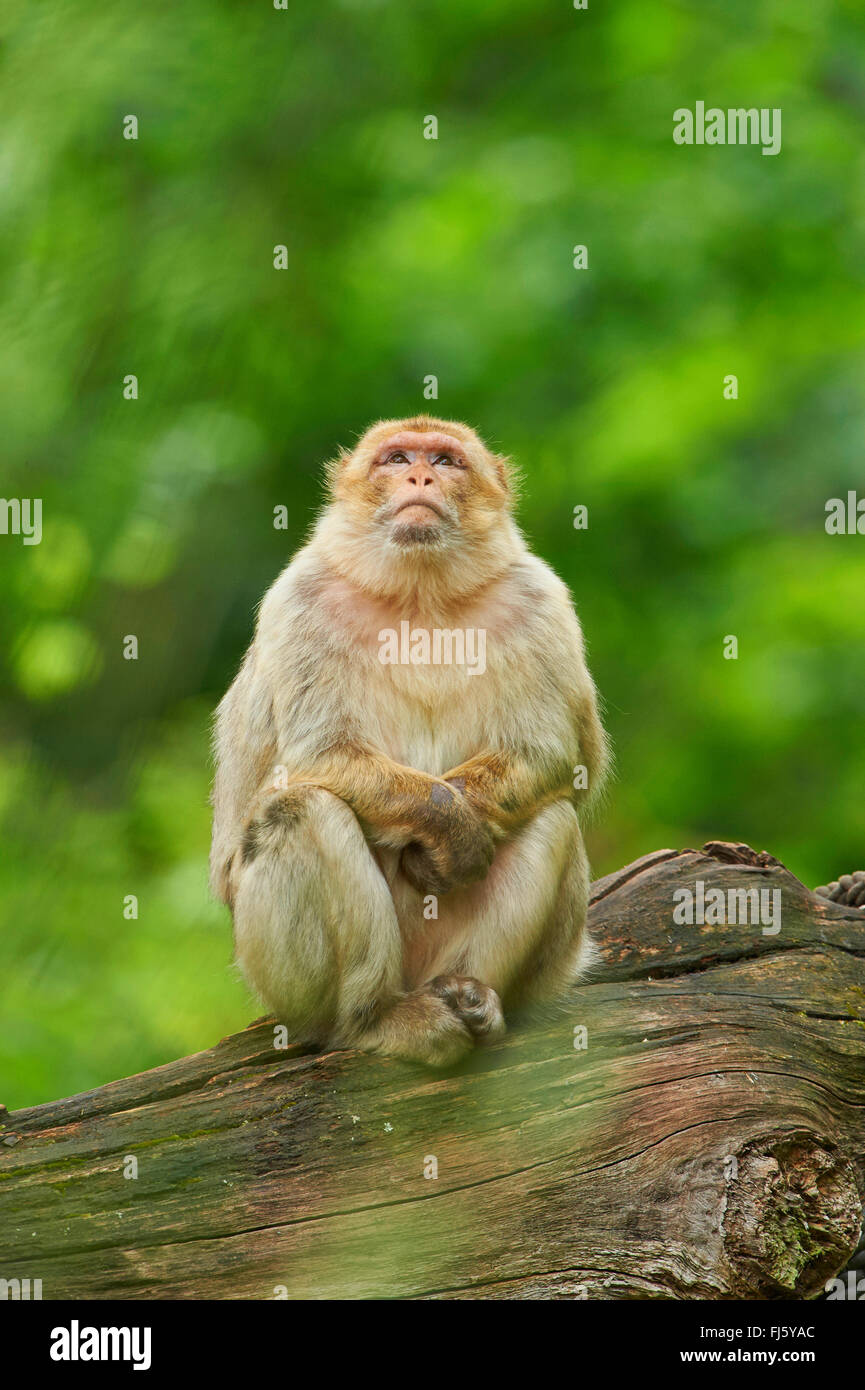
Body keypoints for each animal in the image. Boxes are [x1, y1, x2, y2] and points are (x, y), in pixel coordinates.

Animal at [210, 415, 609, 1067]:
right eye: (396, 458)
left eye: (445, 462)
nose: (420, 477)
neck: (421, 594)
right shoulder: (300, 600)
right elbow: (320, 756)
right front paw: (449, 826)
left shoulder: (539, 600)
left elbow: (551, 757)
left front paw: (449, 837)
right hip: (279, 983)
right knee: (300, 810)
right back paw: (373, 1020)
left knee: (551, 818)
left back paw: (471, 996)